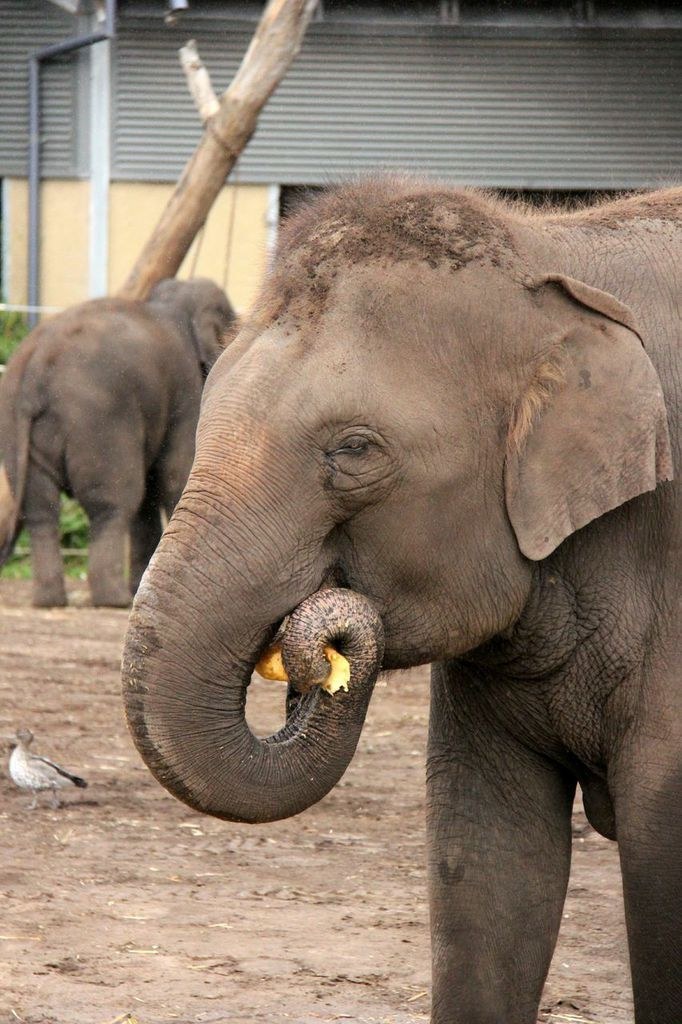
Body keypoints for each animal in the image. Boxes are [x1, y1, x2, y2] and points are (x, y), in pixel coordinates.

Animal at [0, 277, 234, 607]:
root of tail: (37, 363)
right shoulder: (186, 389)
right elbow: (174, 476)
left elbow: (151, 493)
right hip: (99, 424)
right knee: (113, 502)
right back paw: (114, 600)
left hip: (13, 426)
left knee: (41, 509)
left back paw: (51, 600)